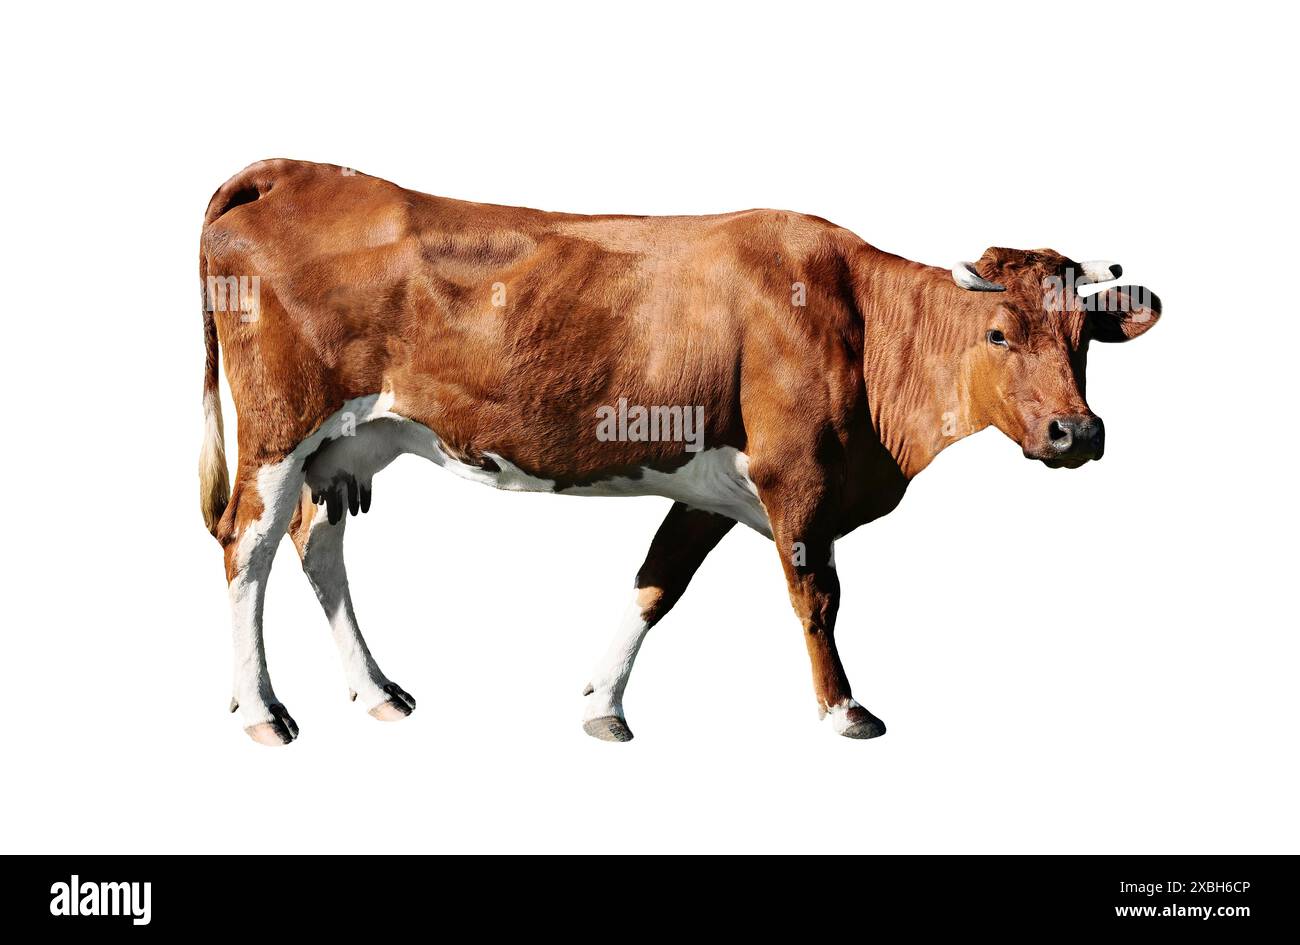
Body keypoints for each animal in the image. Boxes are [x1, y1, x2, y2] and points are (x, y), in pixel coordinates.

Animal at [199, 159, 1160, 746]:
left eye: (1085, 340)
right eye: (999, 333)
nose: (1078, 432)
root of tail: (290, 170)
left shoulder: (713, 488)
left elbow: (655, 583)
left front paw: (602, 704)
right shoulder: (797, 477)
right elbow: (818, 597)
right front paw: (844, 709)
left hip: (346, 445)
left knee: (318, 544)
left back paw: (374, 691)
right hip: (281, 429)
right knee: (247, 544)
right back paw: (261, 709)